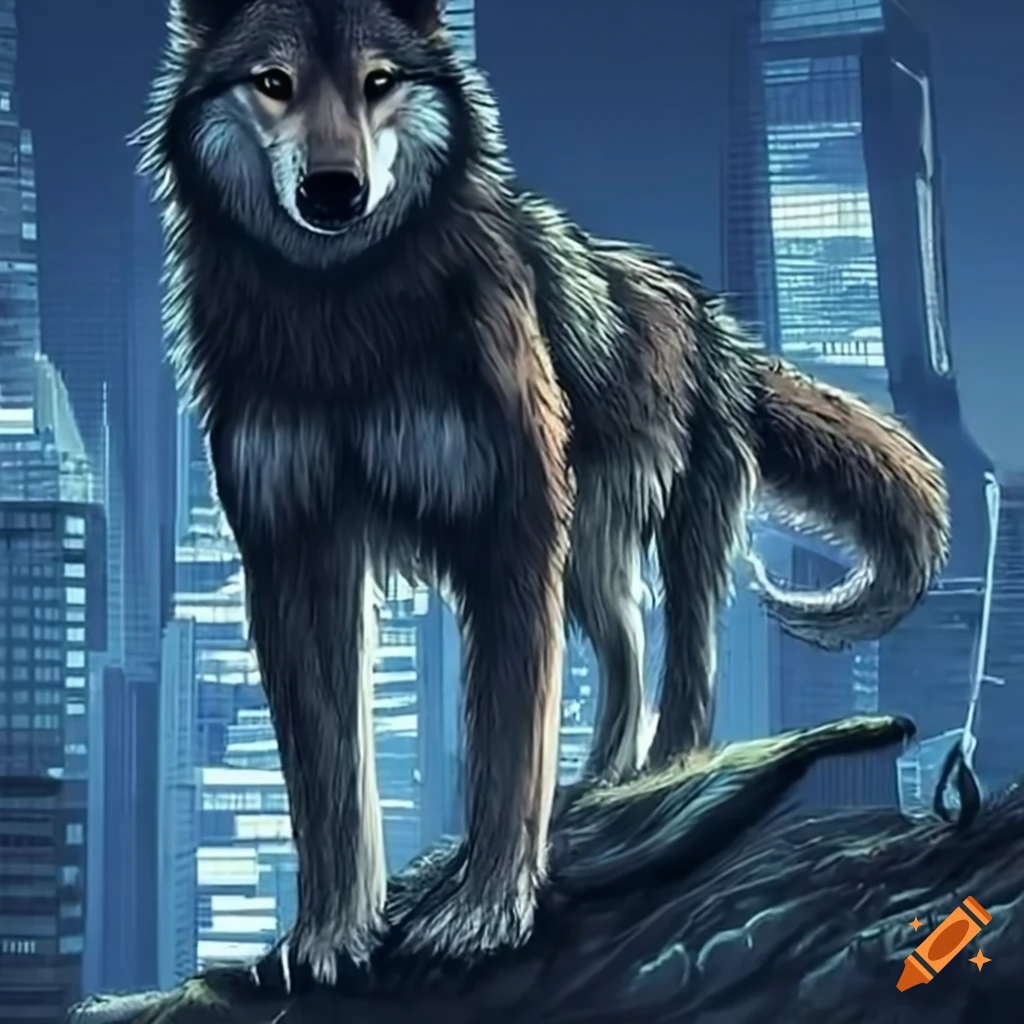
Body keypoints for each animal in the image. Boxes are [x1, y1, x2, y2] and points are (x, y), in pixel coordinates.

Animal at [140, 0, 950, 987]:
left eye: (379, 81)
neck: (343, 316)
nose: (336, 191)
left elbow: (506, 742)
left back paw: (663, 776)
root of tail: (722, 320)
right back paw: (602, 784)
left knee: (687, 668)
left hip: (675, 537)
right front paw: (329, 938)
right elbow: (326, 781)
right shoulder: (294, 556)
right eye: (274, 81)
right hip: (587, 561)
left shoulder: (509, 526)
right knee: (627, 648)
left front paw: (483, 912)